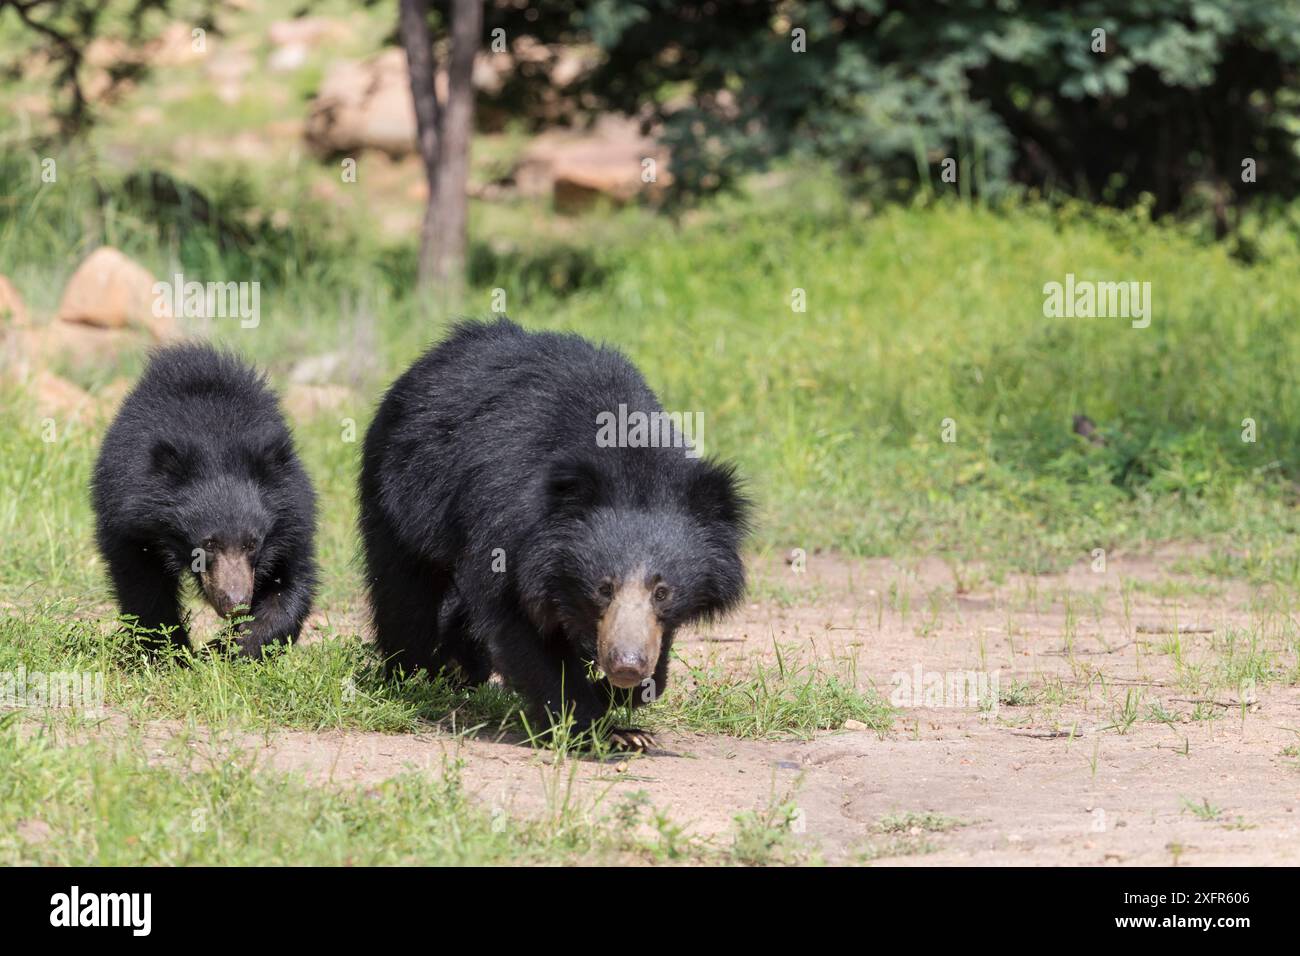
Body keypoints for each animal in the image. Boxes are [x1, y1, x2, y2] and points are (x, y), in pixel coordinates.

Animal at [91, 343, 318, 657]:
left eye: (252, 544)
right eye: (209, 544)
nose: (236, 604)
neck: (216, 447)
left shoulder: (292, 516)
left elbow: (290, 583)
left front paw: (231, 649)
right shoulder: (129, 514)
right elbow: (142, 583)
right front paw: (173, 653)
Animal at [358, 318, 749, 749]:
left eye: (662, 592)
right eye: (603, 588)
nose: (626, 666)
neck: (630, 466)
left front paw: (624, 695)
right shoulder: (507, 524)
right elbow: (521, 629)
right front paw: (606, 731)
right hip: (398, 495)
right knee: (404, 593)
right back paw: (419, 675)